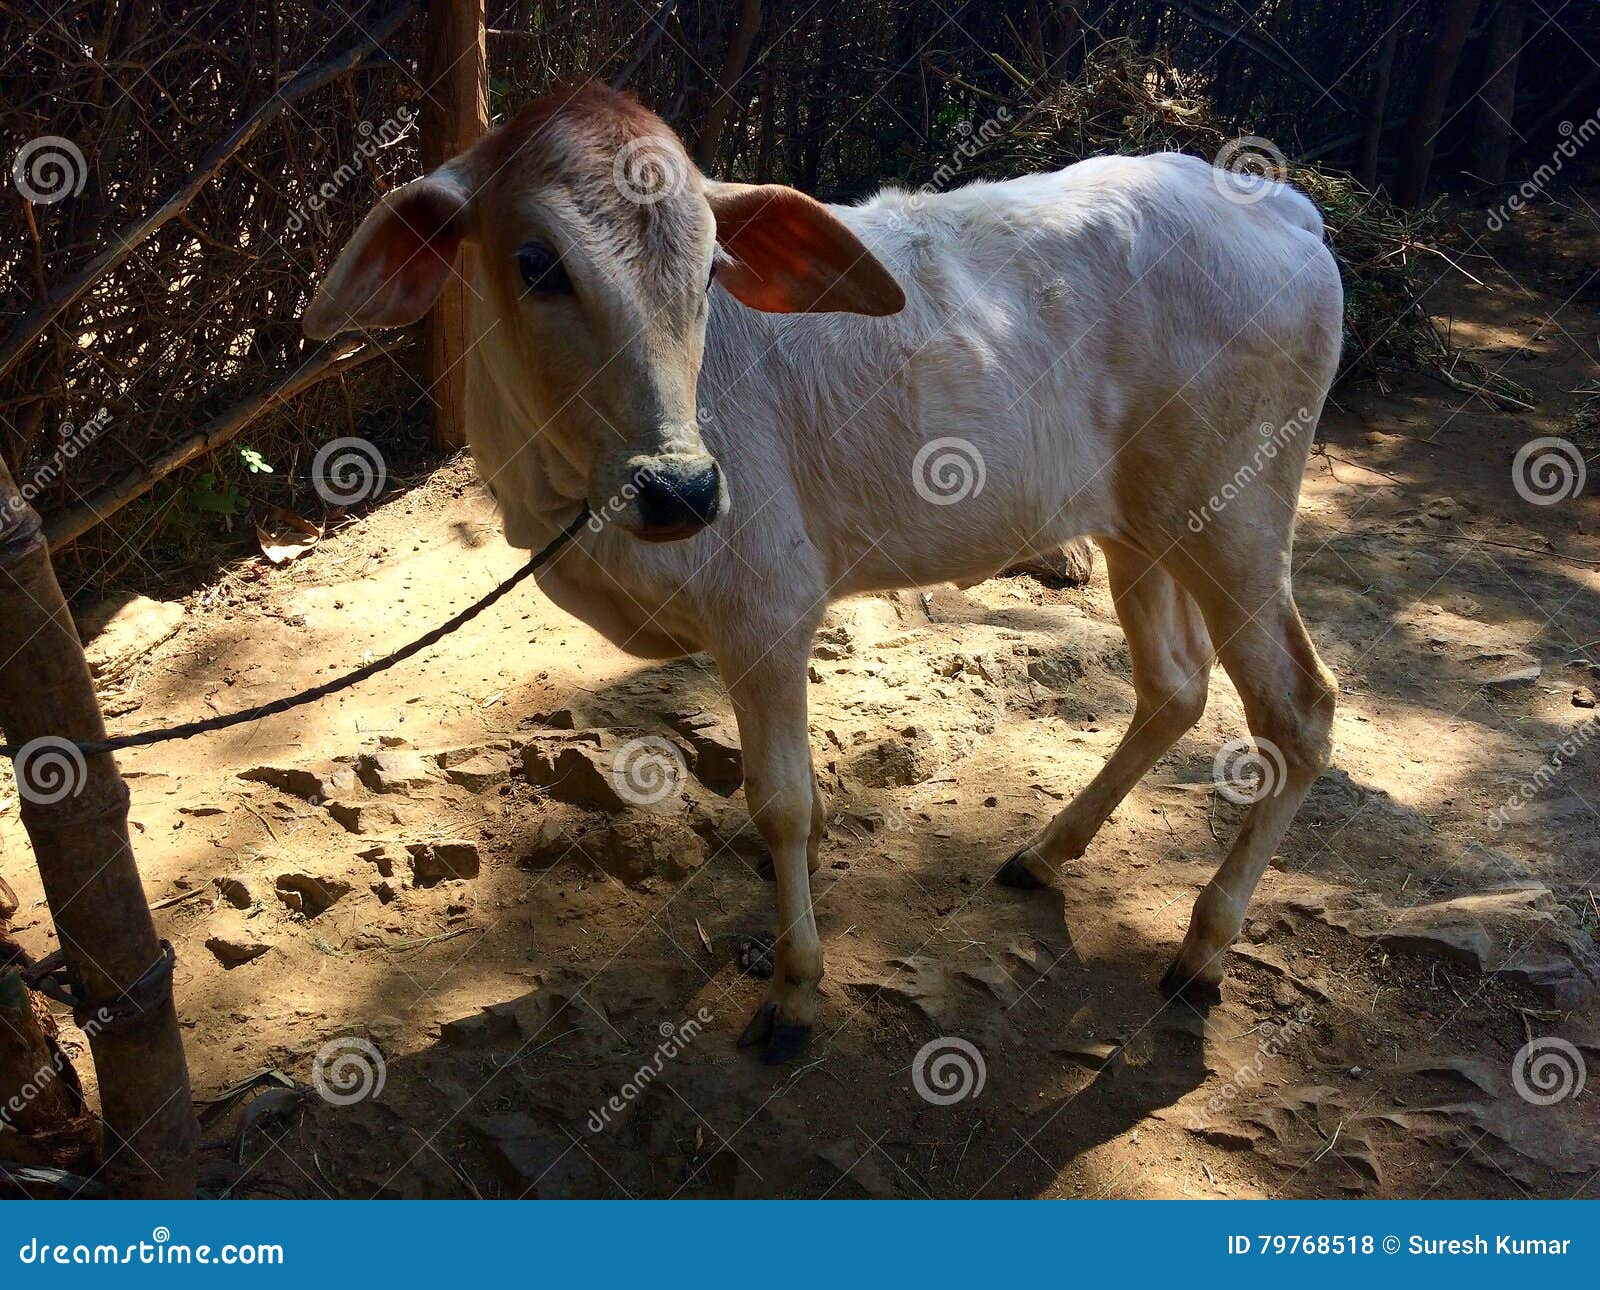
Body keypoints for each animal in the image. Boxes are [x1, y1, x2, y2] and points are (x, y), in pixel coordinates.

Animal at [304, 82, 1341, 1064]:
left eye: (711, 266)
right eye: (536, 264)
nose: (681, 490)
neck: (566, 490)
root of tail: (1284, 207)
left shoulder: (767, 612)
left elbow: (783, 804)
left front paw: (795, 990)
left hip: (1237, 516)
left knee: (1299, 708)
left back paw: (1203, 946)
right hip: (1145, 527)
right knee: (1174, 686)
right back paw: (1047, 852)